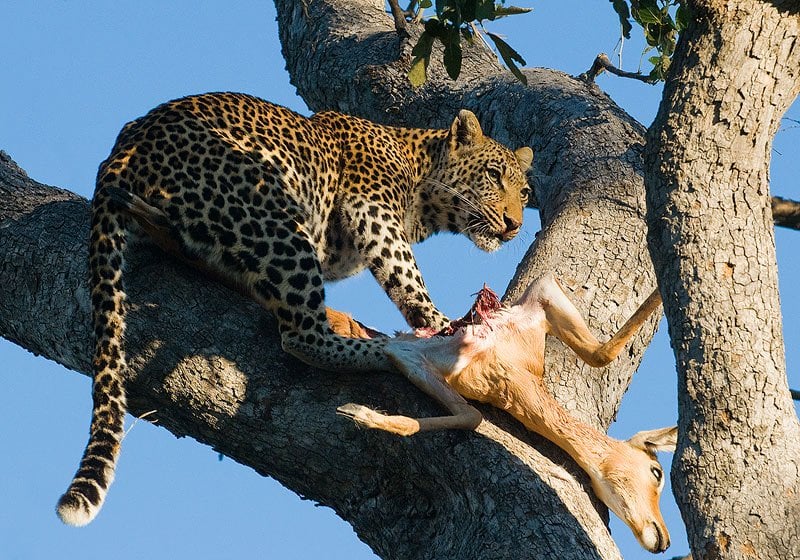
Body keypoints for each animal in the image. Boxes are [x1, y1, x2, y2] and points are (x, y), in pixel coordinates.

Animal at [56, 92, 533, 526]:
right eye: (493, 175)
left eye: (525, 192)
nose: (514, 225)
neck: (422, 178)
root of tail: (125, 149)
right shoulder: (372, 207)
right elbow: (406, 278)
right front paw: (446, 324)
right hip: (276, 215)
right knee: (303, 336)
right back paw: (389, 350)